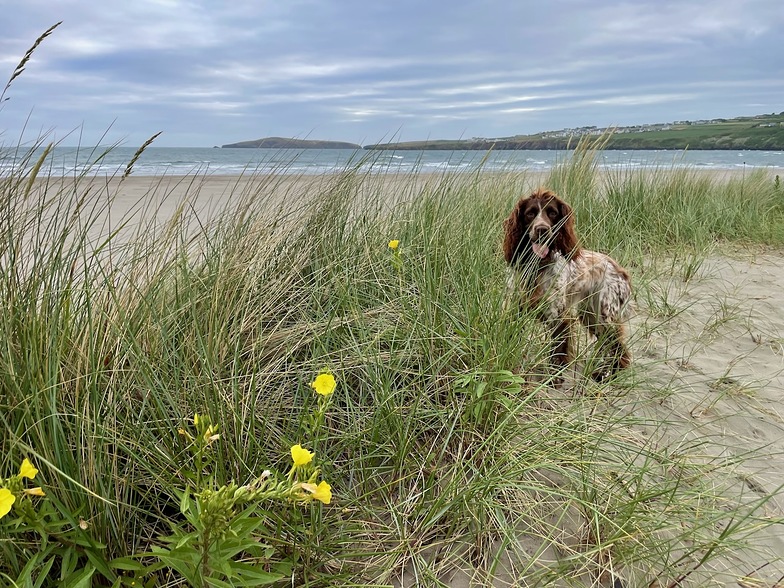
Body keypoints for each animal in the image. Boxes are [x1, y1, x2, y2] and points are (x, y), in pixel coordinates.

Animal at [502, 188, 632, 382]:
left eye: (552, 213)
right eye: (530, 213)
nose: (542, 230)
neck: (538, 267)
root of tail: (620, 269)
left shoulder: (559, 316)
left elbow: (557, 353)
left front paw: (553, 379)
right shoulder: (514, 310)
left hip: (604, 315)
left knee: (617, 345)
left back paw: (609, 374)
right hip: (590, 315)